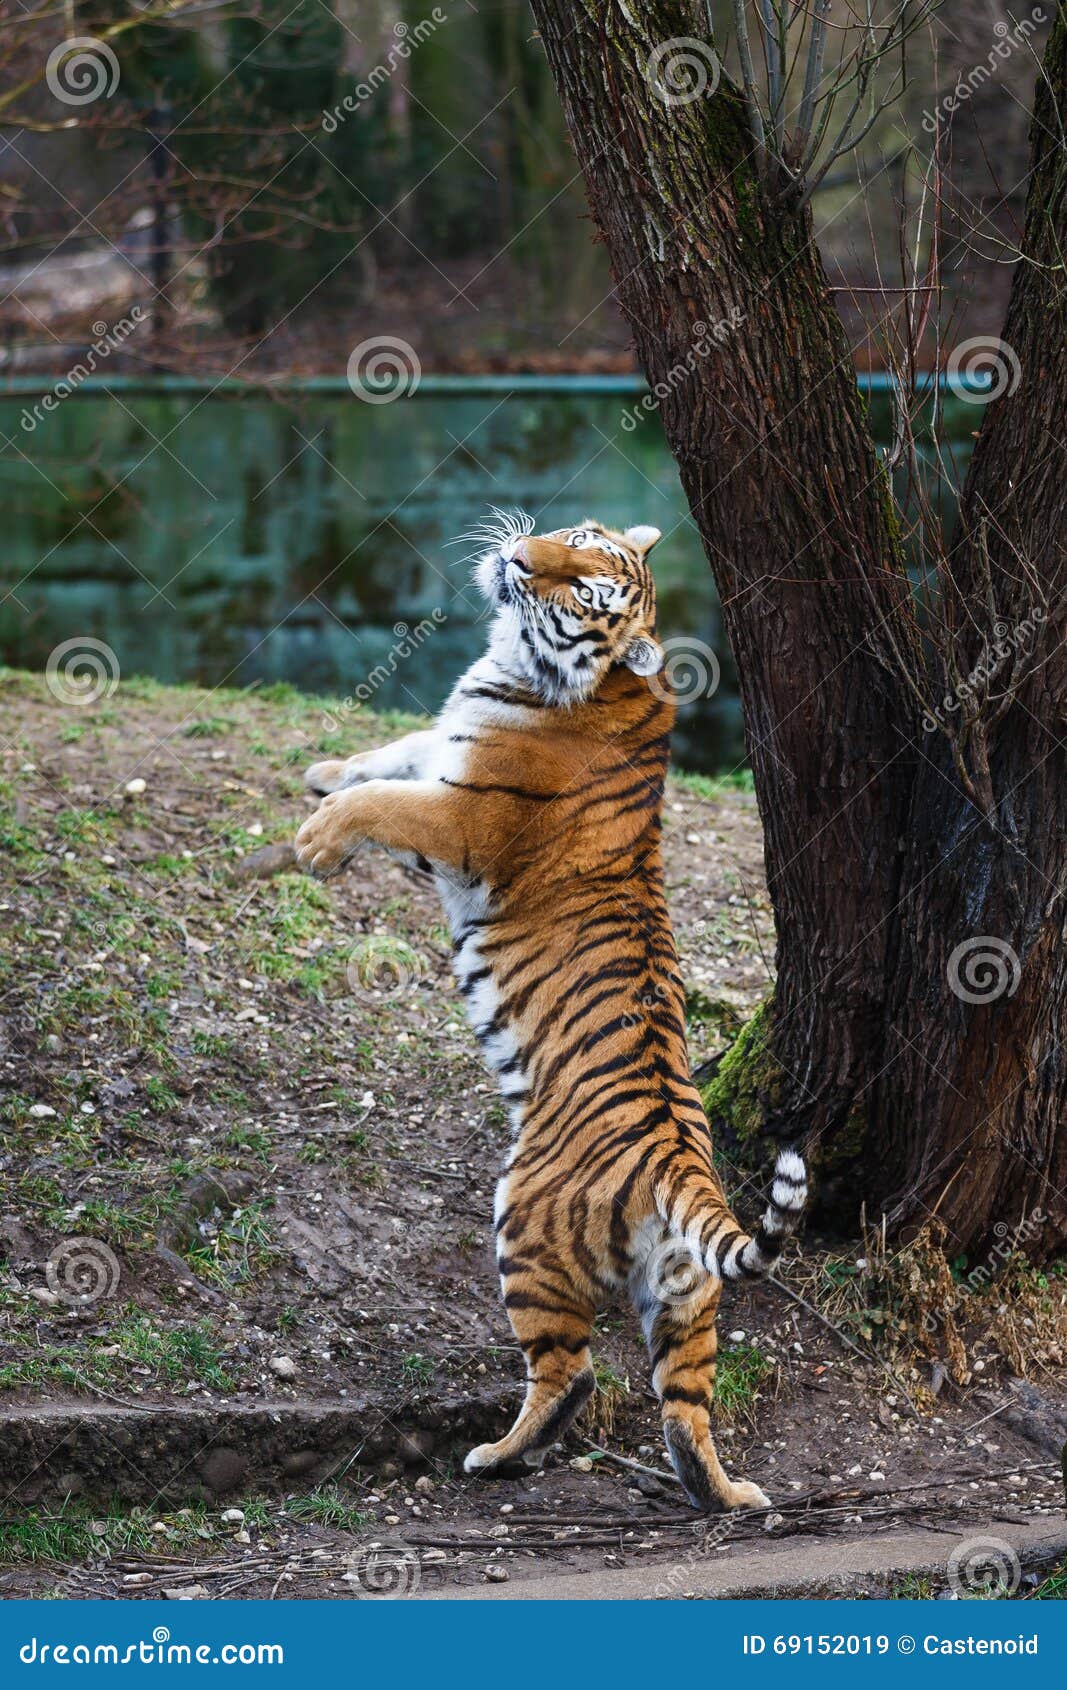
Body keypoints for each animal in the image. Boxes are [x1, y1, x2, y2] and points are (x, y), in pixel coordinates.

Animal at [294, 510, 807, 1511]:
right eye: (578, 536)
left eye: (580, 589)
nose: (517, 556)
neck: (517, 667)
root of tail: (679, 1165)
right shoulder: (440, 749)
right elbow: (388, 754)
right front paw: (322, 769)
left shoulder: (459, 821)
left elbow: (386, 797)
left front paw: (316, 837)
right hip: (686, 1299)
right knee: (685, 1406)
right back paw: (725, 1497)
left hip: (523, 1230)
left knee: (569, 1373)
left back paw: (494, 1456)